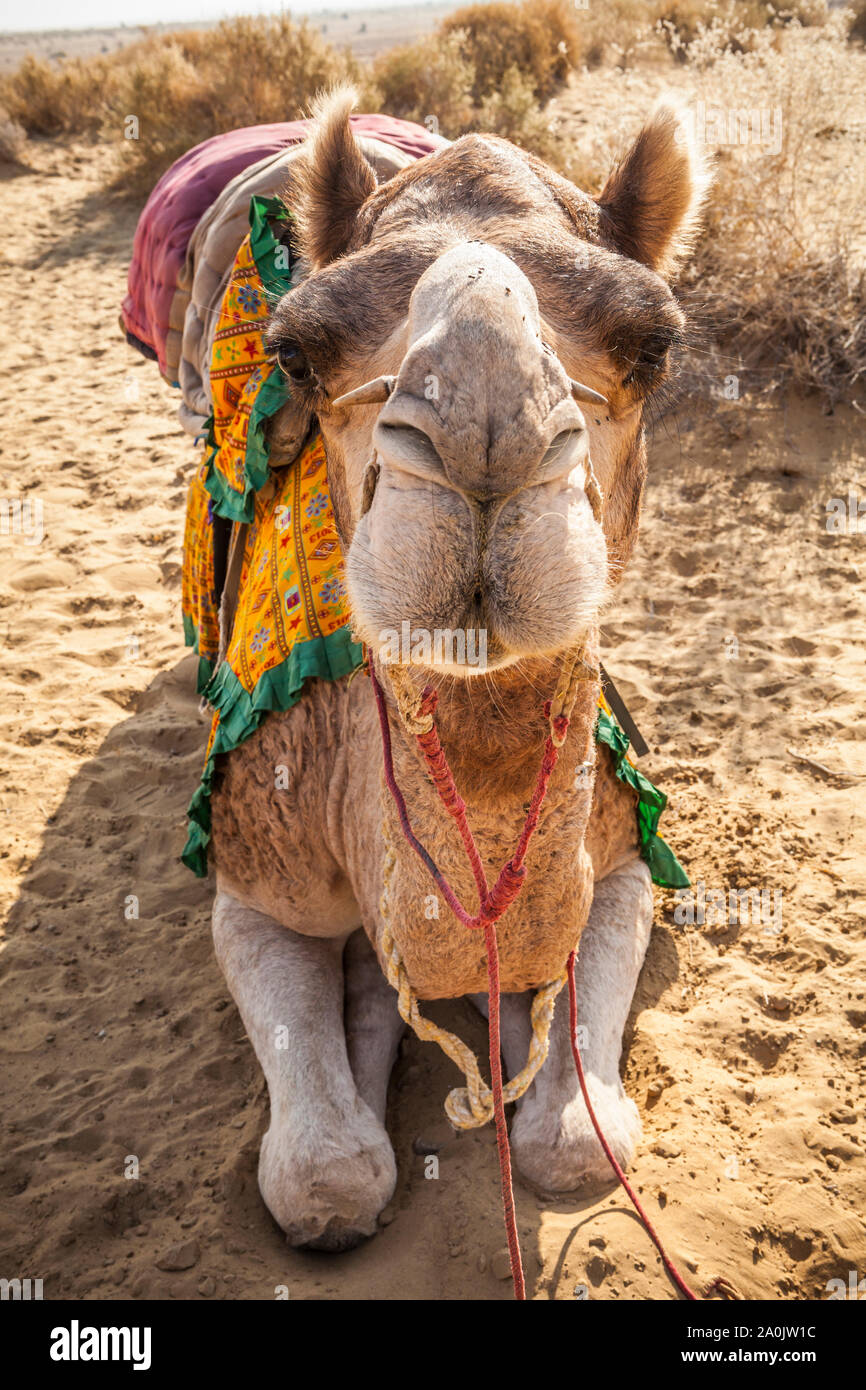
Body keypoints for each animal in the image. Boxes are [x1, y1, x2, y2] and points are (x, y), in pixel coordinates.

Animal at [206, 89, 707, 1250]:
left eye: (653, 348)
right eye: (296, 354)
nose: (484, 431)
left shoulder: (623, 858)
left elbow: (576, 1139)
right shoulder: (254, 876)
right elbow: (325, 1182)